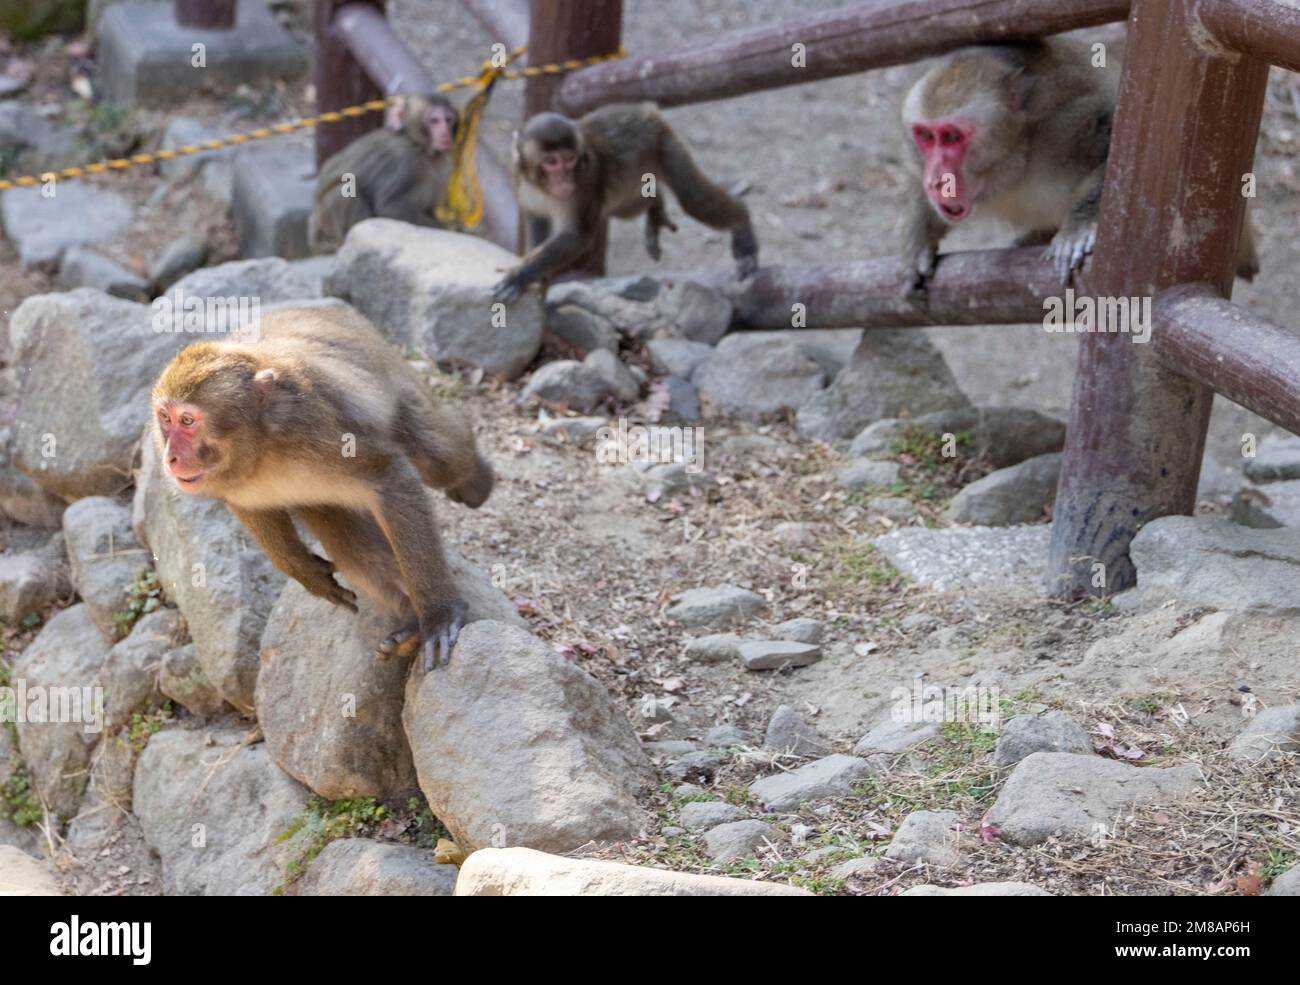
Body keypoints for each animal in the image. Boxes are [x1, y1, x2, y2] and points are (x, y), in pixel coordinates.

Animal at [151, 305, 495, 671]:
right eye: (165, 419)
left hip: (399, 385)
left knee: (440, 458)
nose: (170, 457)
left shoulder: (320, 430)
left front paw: (438, 613)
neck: (260, 448)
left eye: (188, 421)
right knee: (345, 538)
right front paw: (305, 572)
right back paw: (410, 627)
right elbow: (252, 510)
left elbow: (391, 478)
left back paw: (477, 478)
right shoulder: (234, 482)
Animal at [308, 93, 460, 254]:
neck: (419, 147)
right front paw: (447, 230)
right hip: (326, 218)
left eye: (448, 120)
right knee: (346, 194)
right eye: (434, 120)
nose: (445, 133)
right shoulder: (399, 158)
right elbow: (389, 206)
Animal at [492, 103, 759, 303]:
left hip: (664, 143)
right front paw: (538, 279)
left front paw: (520, 276)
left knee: (694, 200)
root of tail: (643, 109)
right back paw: (656, 207)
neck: (543, 187)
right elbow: (538, 223)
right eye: (551, 162)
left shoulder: (586, 182)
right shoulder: (522, 183)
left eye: (569, 159)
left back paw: (742, 225)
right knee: (625, 206)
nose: (564, 180)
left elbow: (576, 236)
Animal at [898, 39, 1258, 293]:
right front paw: (918, 238)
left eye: (952, 137)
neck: (1016, 158)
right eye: (926, 136)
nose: (936, 180)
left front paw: (1079, 227)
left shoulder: (1067, 123)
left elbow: (1126, 156)